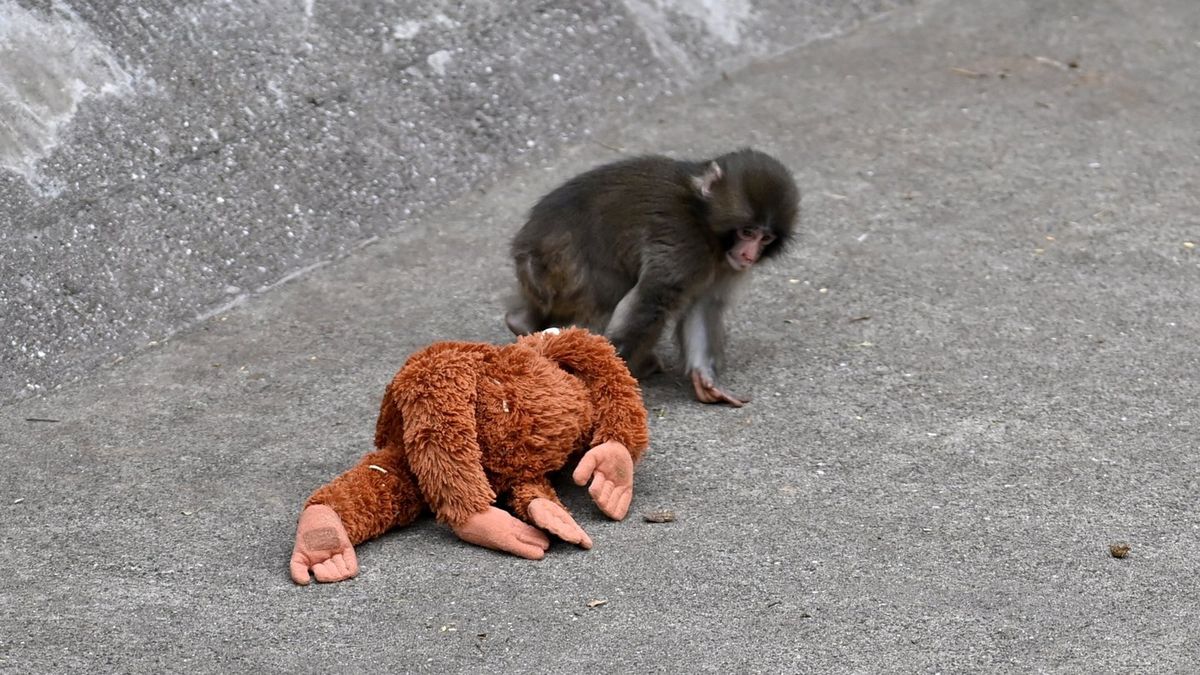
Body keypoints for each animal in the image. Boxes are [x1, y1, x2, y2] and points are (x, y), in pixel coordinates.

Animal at [505, 148, 799, 407]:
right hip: (564, 267)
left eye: (766, 238)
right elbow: (652, 300)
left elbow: (702, 306)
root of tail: (526, 250)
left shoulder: (723, 264)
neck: (704, 220)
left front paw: (705, 378)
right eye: (747, 232)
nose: (749, 255)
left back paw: (521, 322)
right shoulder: (685, 243)